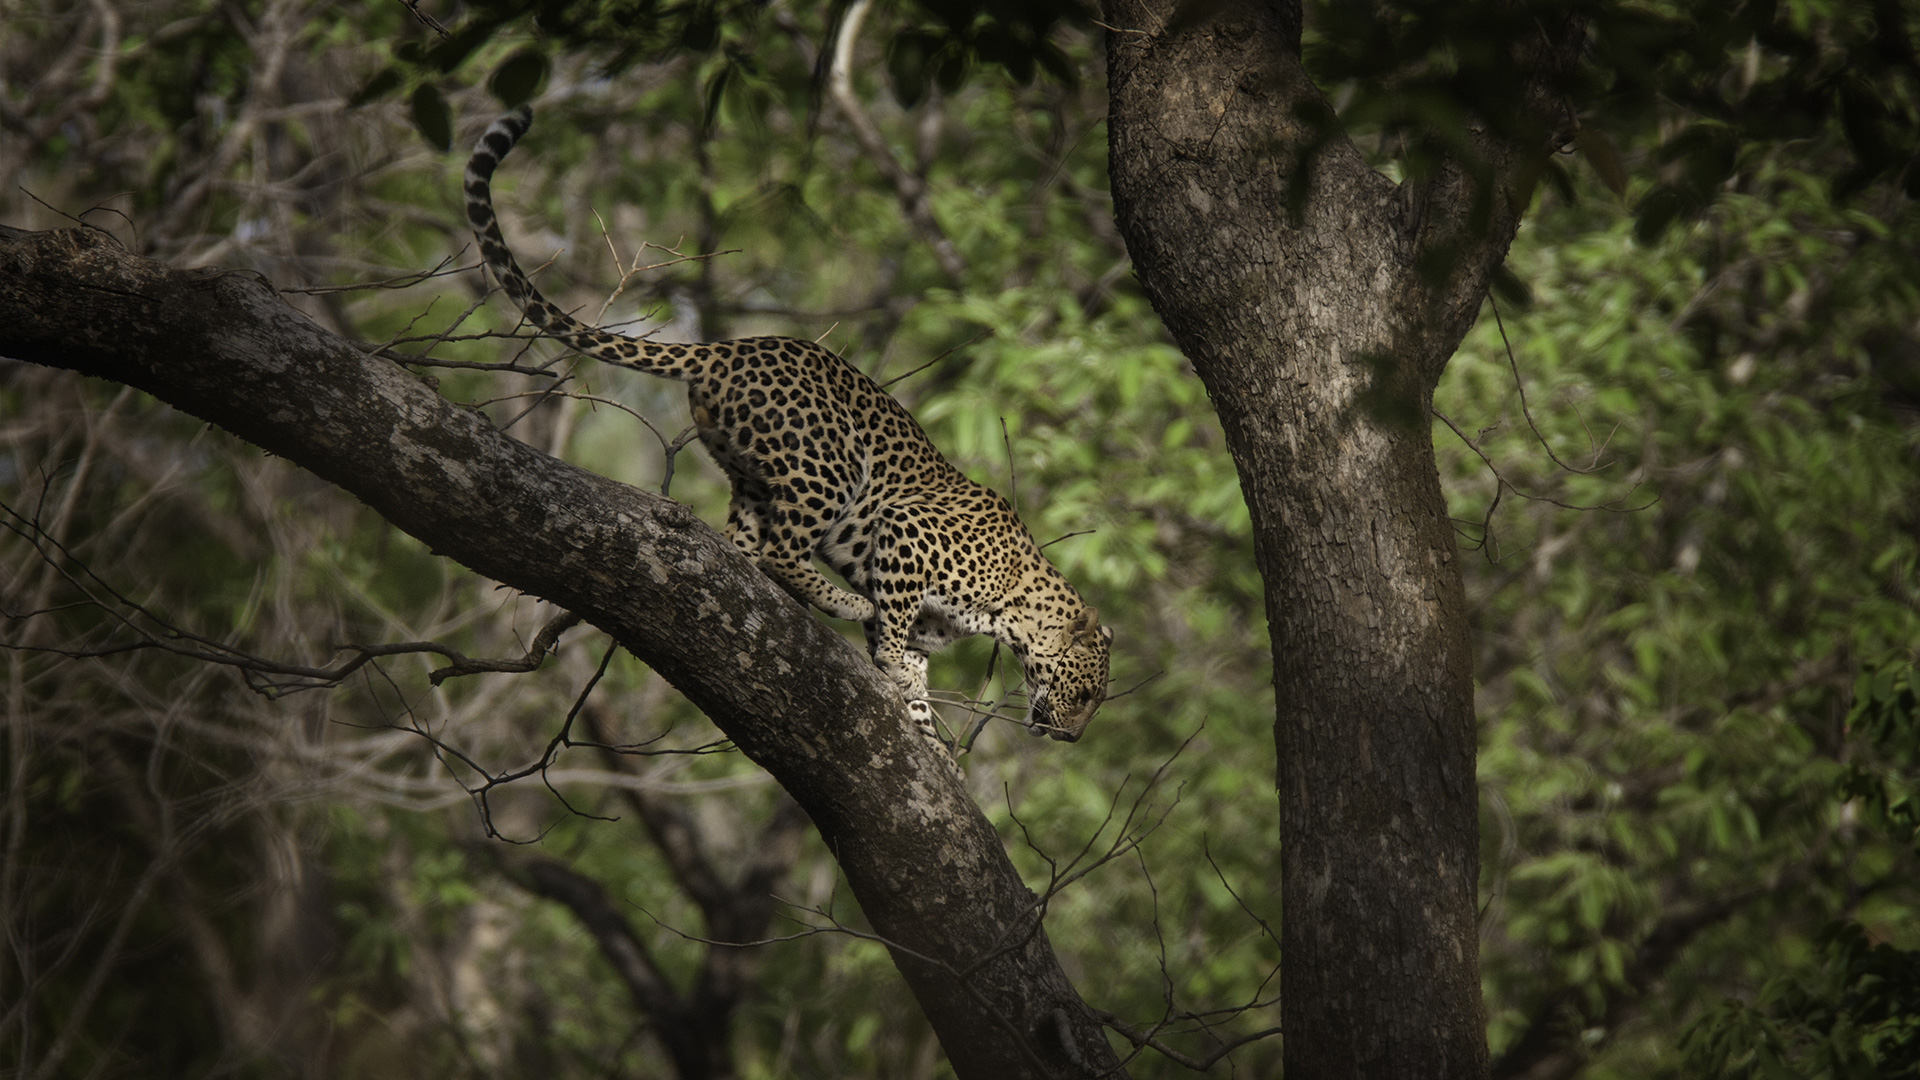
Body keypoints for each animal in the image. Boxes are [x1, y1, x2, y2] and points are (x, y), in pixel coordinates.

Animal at [464, 107, 1121, 737]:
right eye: (1086, 693)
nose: (1070, 739)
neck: (1013, 606)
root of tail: (725, 349)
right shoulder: (907, 532)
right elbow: (894, 625)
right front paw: (893, 659)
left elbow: (914, 670)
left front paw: (928, 726)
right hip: (832, 462)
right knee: (783, 554)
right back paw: (845, 602)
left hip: (756, 477)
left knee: (747, 554)